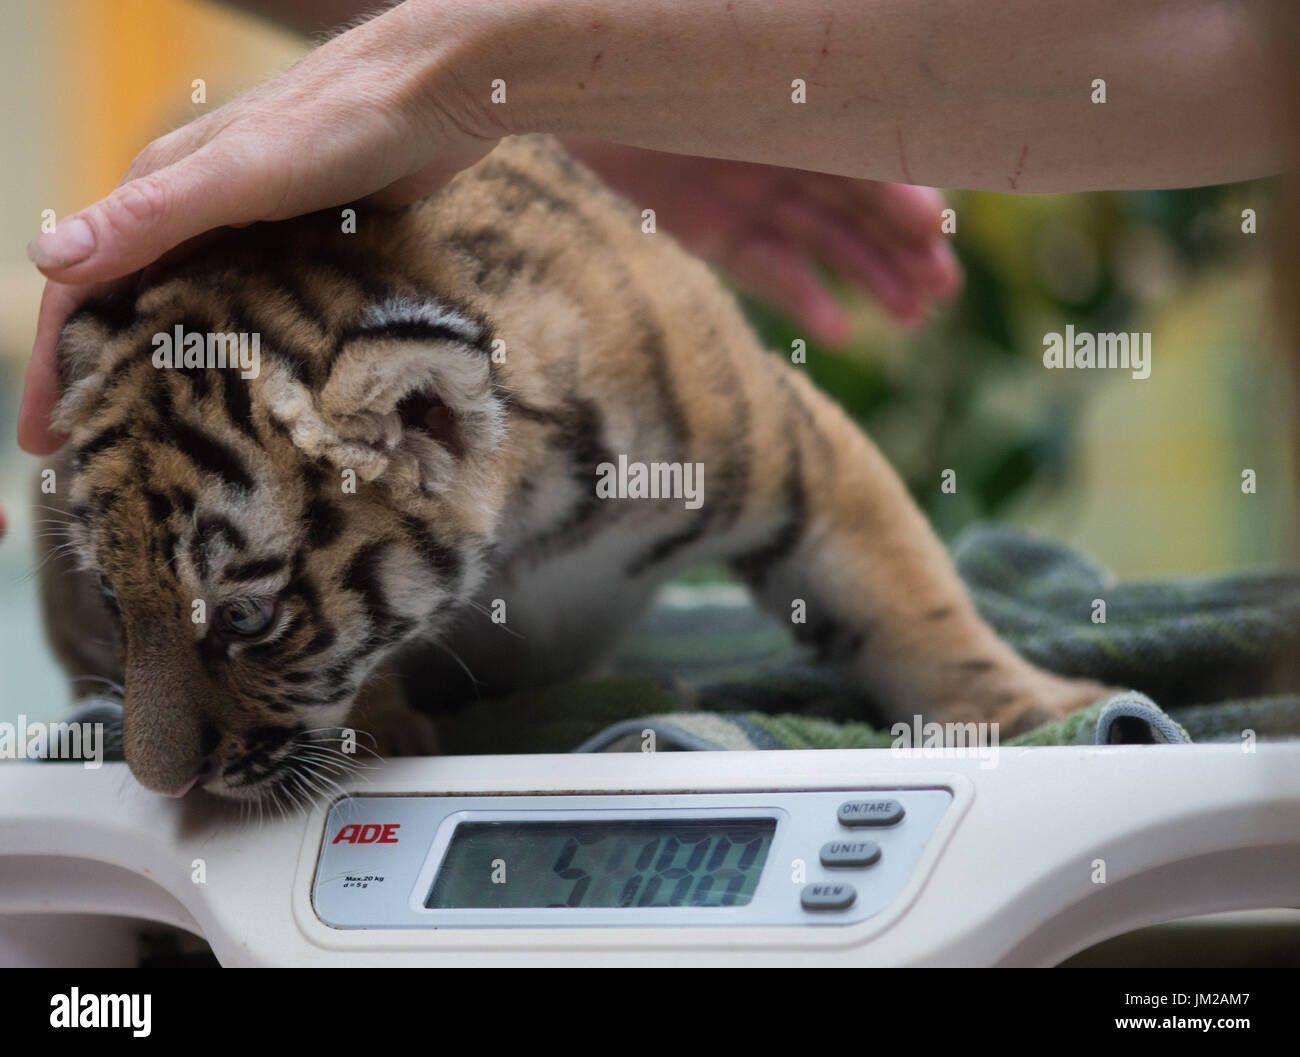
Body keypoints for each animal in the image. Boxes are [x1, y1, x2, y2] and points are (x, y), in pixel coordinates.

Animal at [36, 133, 1113, 803]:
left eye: (248, 619)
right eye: (114, 598)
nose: (159, 785)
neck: (517, 533)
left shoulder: (796, 446)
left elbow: (909, 599)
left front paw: (1037, 712)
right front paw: (383, 728)